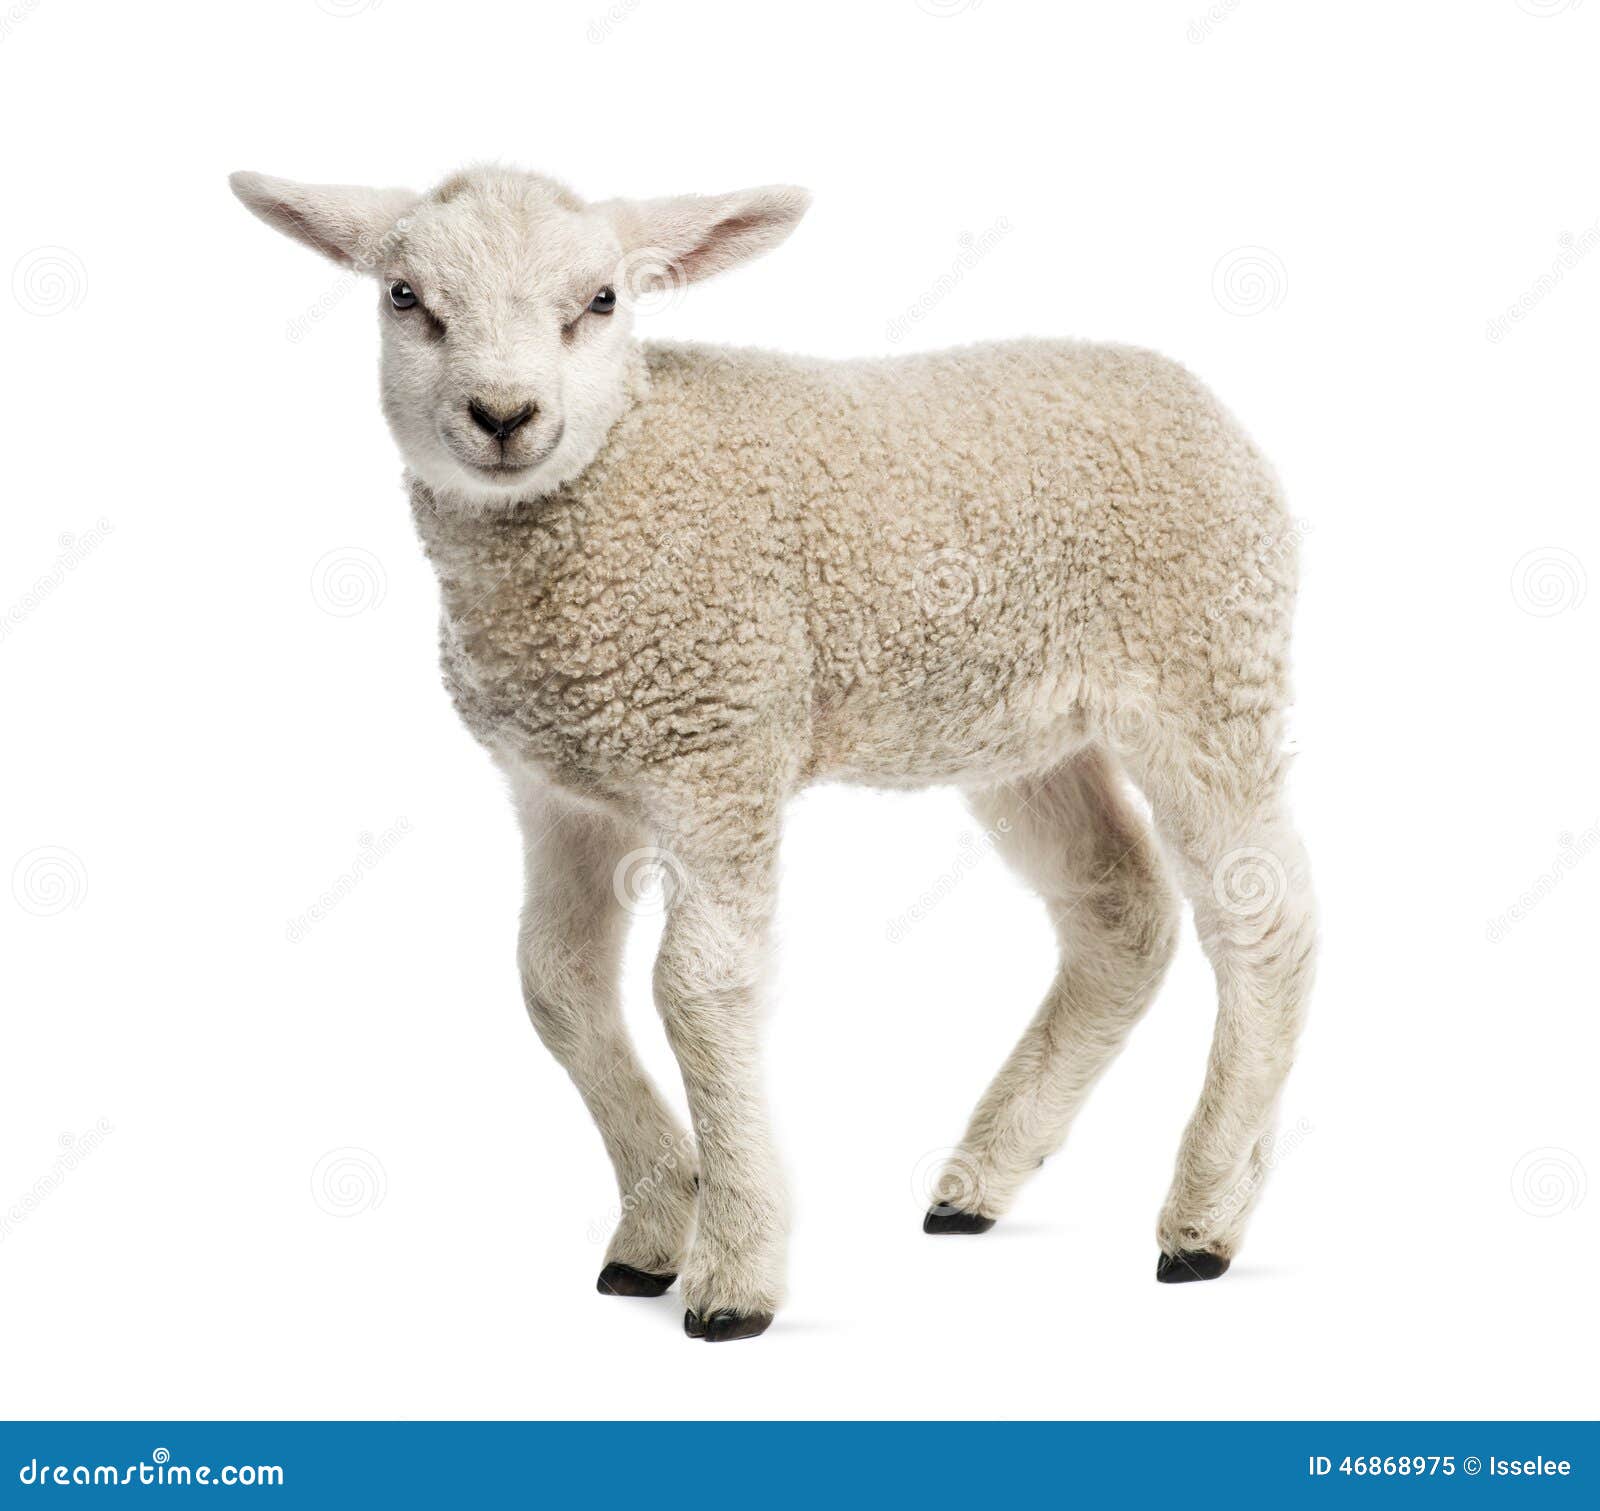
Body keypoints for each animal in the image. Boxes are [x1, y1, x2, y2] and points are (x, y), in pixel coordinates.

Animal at [230, 164, 1317, 1343]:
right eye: (404, 297)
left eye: (602, 300)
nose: (505, 416)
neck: (619, 473)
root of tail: (1193, 393)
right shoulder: (558, 788)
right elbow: (556, 984)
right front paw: (655, 1225)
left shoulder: (720, 752)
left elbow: (698, 989)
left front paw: (736, 1268)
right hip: (1020, 726)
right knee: (1120, 910)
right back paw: (980, 1180)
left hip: (1206, 667)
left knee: (1263, 919)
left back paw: (1203, 1217)